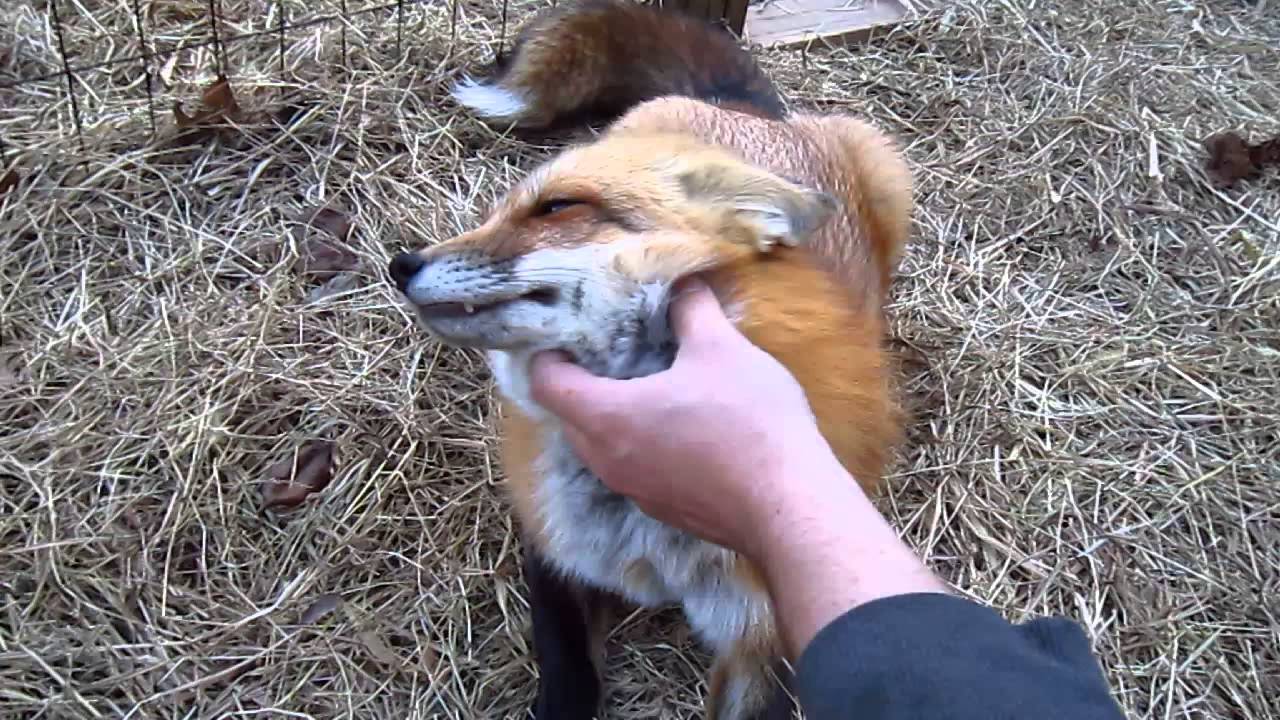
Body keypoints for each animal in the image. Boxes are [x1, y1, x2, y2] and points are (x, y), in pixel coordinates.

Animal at [386, 1, 914, 718]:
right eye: (493, 214)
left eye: (557, 207)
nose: (400, 263)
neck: (642, 537)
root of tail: (739, 111)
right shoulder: (555, 552)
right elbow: (567, 678)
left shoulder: (762, 640)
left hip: (887, 173)